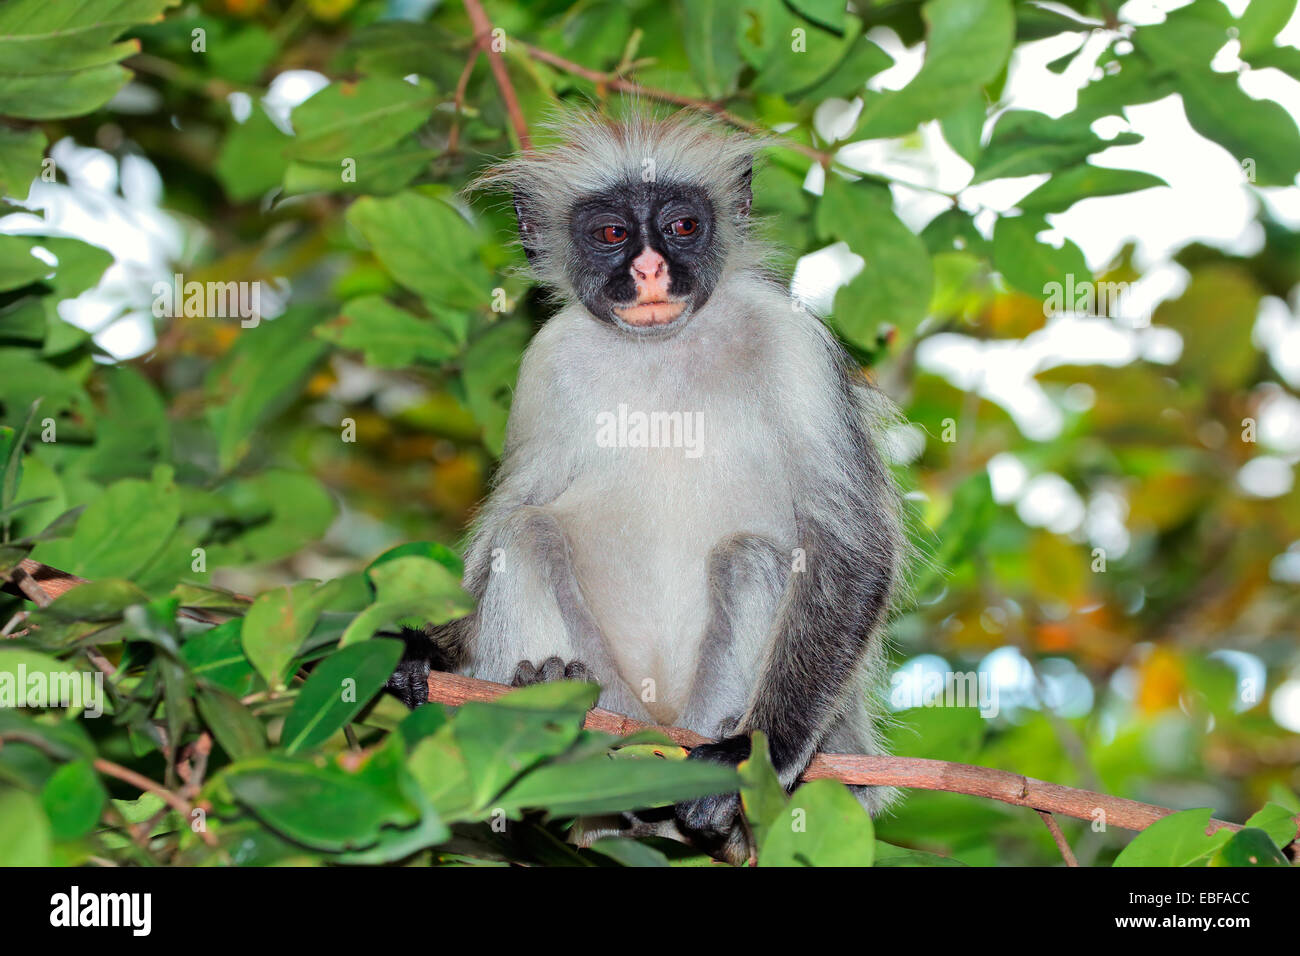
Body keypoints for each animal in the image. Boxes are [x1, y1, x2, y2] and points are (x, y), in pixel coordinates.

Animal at [387, 110, 907, 859]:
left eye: (681, 225)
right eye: (612, 234)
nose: (651, 268)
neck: (662, 351)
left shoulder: (794, 345)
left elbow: (852, 541)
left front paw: (757, 751)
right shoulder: (547, 363)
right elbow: (512, 510)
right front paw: (431, 647)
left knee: (750, 559)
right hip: (619, 699)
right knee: (528, 531)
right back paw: (556, 715)